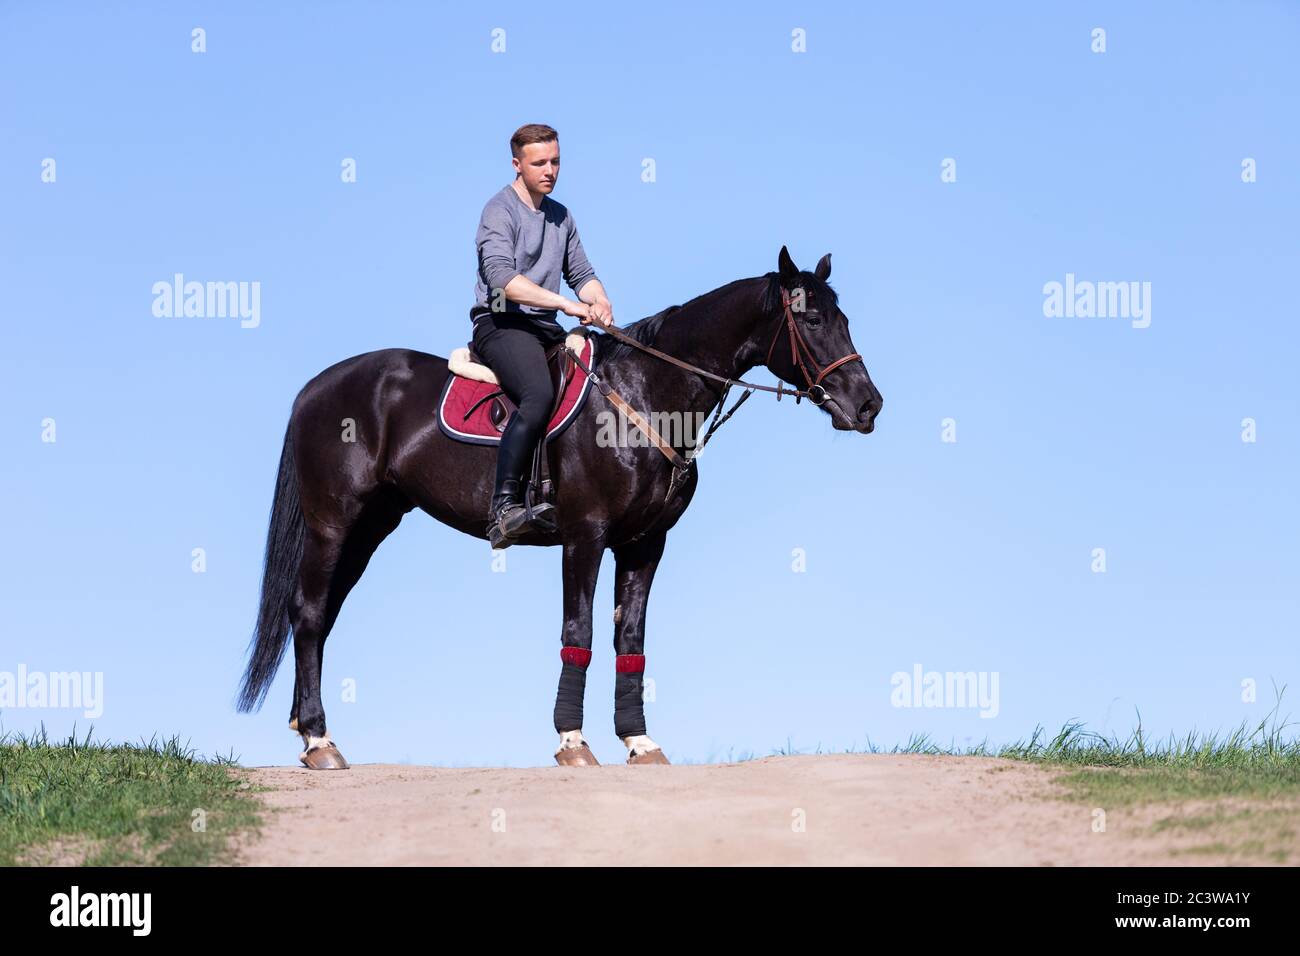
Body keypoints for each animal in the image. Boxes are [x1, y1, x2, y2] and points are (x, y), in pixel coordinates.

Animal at [236, 246, 884, 768]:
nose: (868, 406)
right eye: (812, 319)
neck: (646, 396)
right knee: (309, 614)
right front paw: (572, 741)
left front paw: (639, 742)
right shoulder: (585, 536)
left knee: (320, 615)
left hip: (370, 528)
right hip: (333, 523)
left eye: (844, 318)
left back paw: (307, 730)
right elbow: (581, 630)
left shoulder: (644, 544)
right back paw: (319, 740)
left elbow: (631, 641)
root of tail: (316, 388)